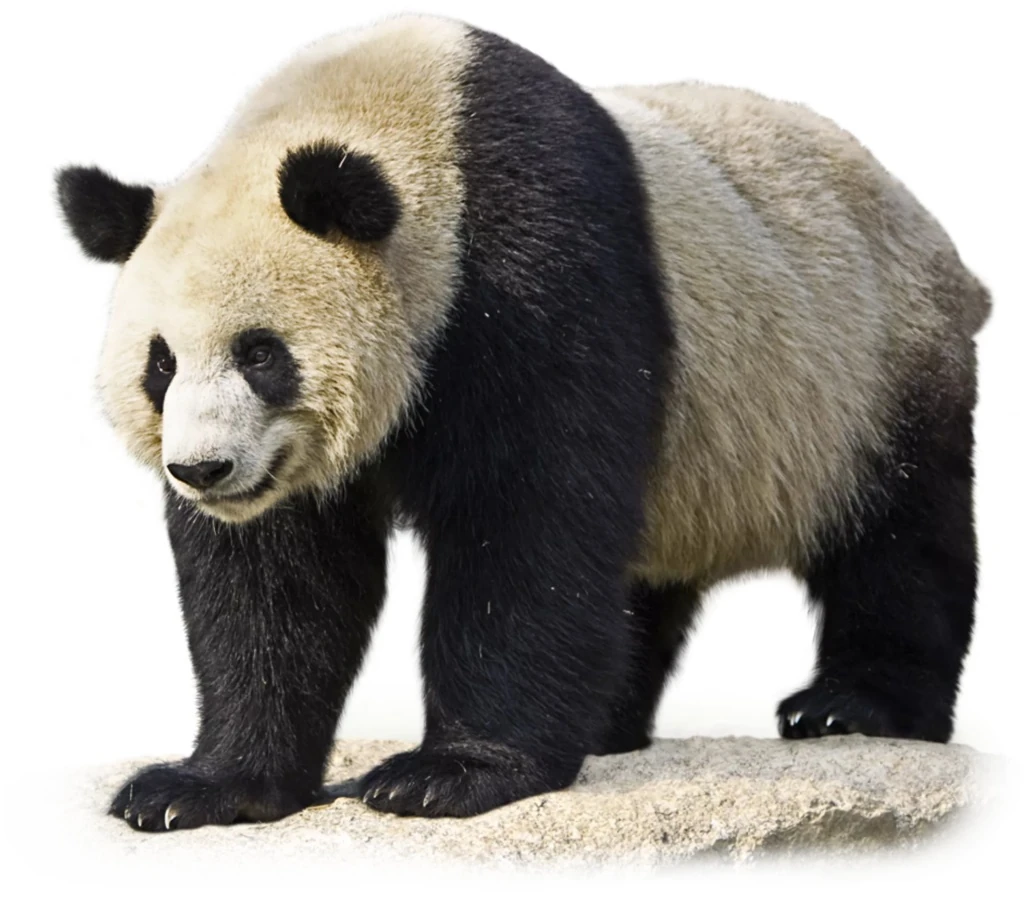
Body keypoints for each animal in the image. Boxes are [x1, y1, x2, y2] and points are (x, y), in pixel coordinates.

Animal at [57, 15, 989, 830]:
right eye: (161, 365)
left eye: (260, 353)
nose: (203, 471)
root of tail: (940, 242)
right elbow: (275, 582)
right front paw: (200, 787)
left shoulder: (531, 268)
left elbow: (525, 522)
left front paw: (447, 775)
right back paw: (606, 725)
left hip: (865, 366)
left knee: (901, 541)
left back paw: (852, 708)